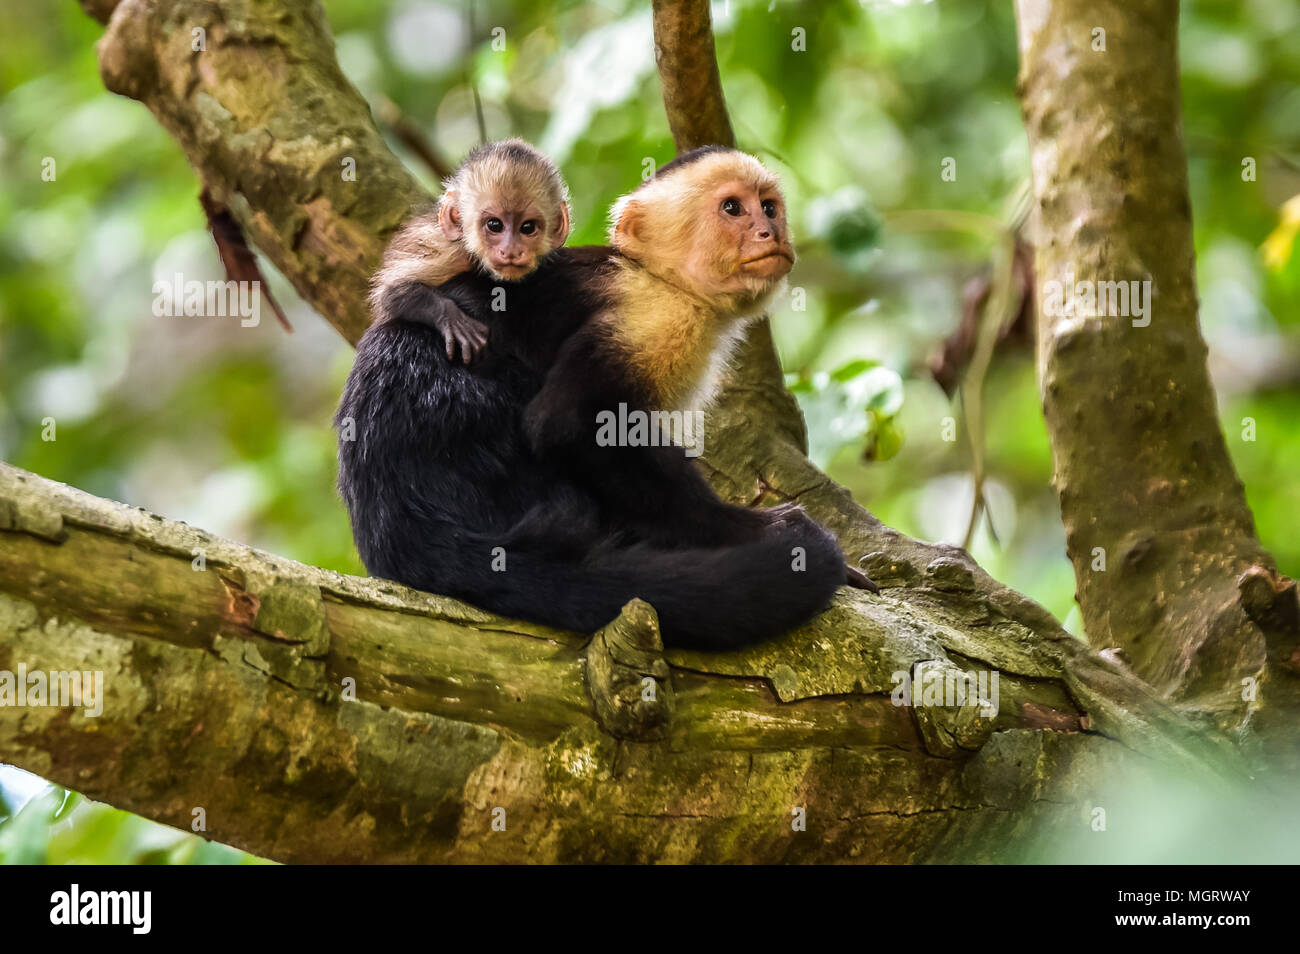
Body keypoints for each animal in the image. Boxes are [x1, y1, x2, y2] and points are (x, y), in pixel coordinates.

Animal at [368, 138, 571, 363]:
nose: (511, 251)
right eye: (494, 225)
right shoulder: (451, 254)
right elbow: (392, 294)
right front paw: (450, 317)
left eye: (527, 227)